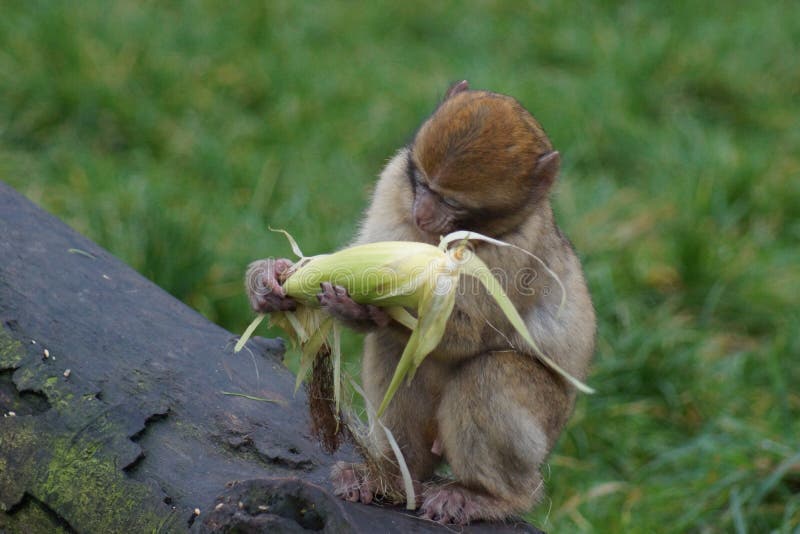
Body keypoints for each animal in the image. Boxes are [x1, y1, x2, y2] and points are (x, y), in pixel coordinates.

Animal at [246, 81, 595, 525]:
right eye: (425, 185)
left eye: (454, 203)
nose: (423, 214)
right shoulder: (395, 182)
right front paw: (273, 278)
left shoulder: (515, 249)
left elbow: (465, 336)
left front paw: (363, 306)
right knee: (396, 349)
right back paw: (395, 475)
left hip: (543, 429)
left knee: (490, 372)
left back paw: (490, 496)